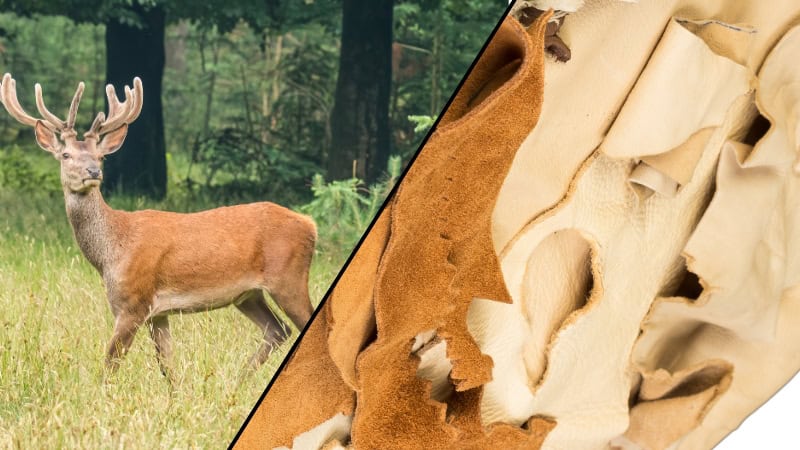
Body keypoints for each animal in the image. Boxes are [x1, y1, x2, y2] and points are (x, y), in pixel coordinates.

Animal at [0, 73, 317, 378]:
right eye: (66, 155)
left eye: (101, 156)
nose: (94, 171)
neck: (111, 250)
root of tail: (310, 225)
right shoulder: (158, 312)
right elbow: (167, 366)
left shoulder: (133, 302)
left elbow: (110, 365)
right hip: (248, 294)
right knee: (278, 330)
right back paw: (240, 380)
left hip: (287, 278)